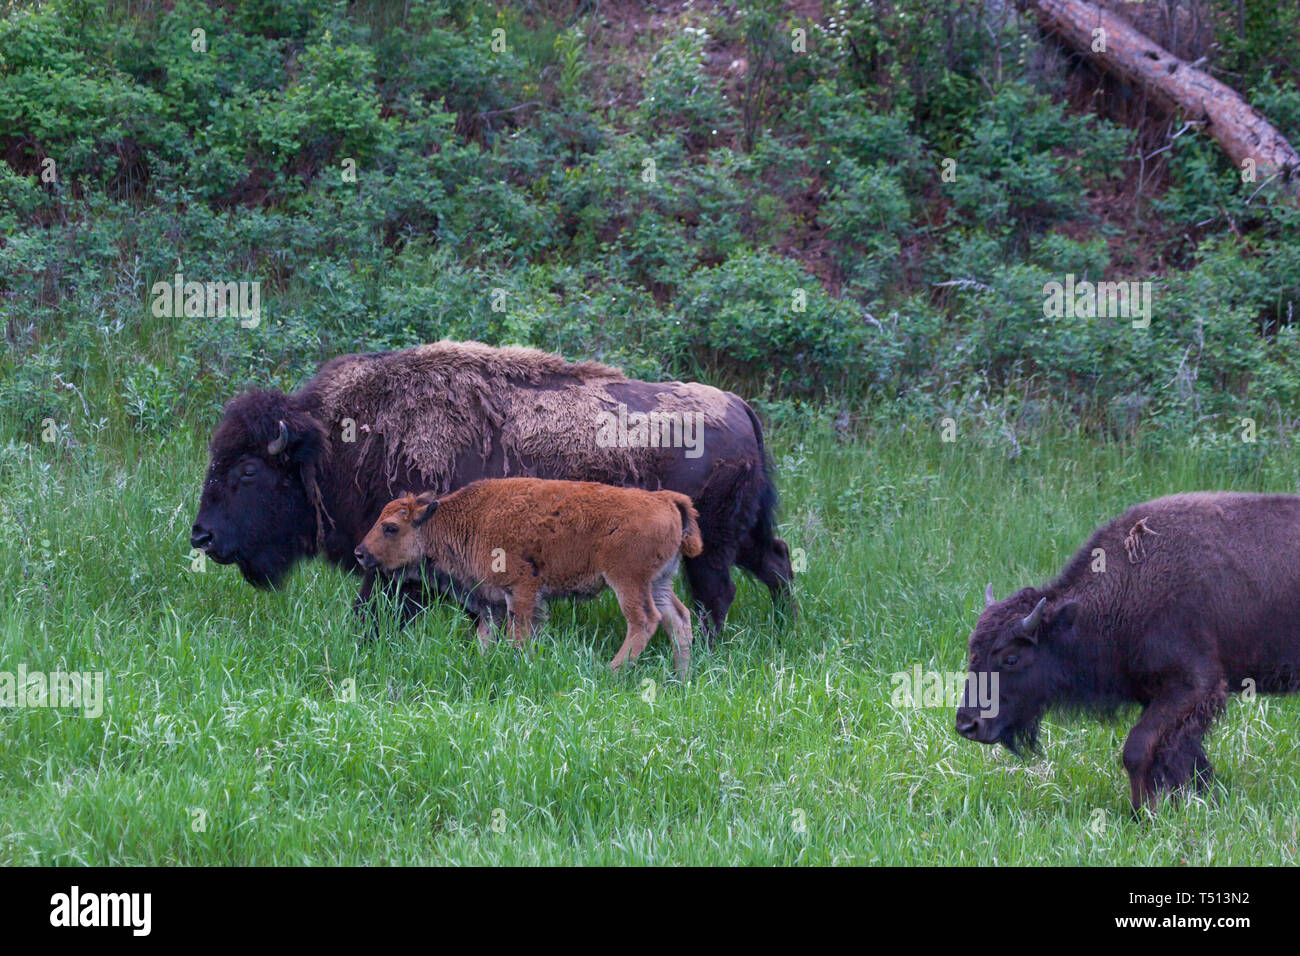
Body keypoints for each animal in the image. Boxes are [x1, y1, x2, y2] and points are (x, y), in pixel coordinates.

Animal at [190, 340, 794, 639]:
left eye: (248, 472)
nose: (201, 537)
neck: (338, 442)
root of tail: (739, 407)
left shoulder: (405, 562)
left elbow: (381, 608)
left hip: (708, 547)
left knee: (719, 594)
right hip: (741, 535)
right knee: (777, 563)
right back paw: (784, 632)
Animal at [957, 491, 1300, 812]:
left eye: (1011, 658)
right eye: (973, 650)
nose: (967, 725)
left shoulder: (1192, 685)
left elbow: (1137, 749)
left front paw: (1143, 812)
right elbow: (1182, 756)